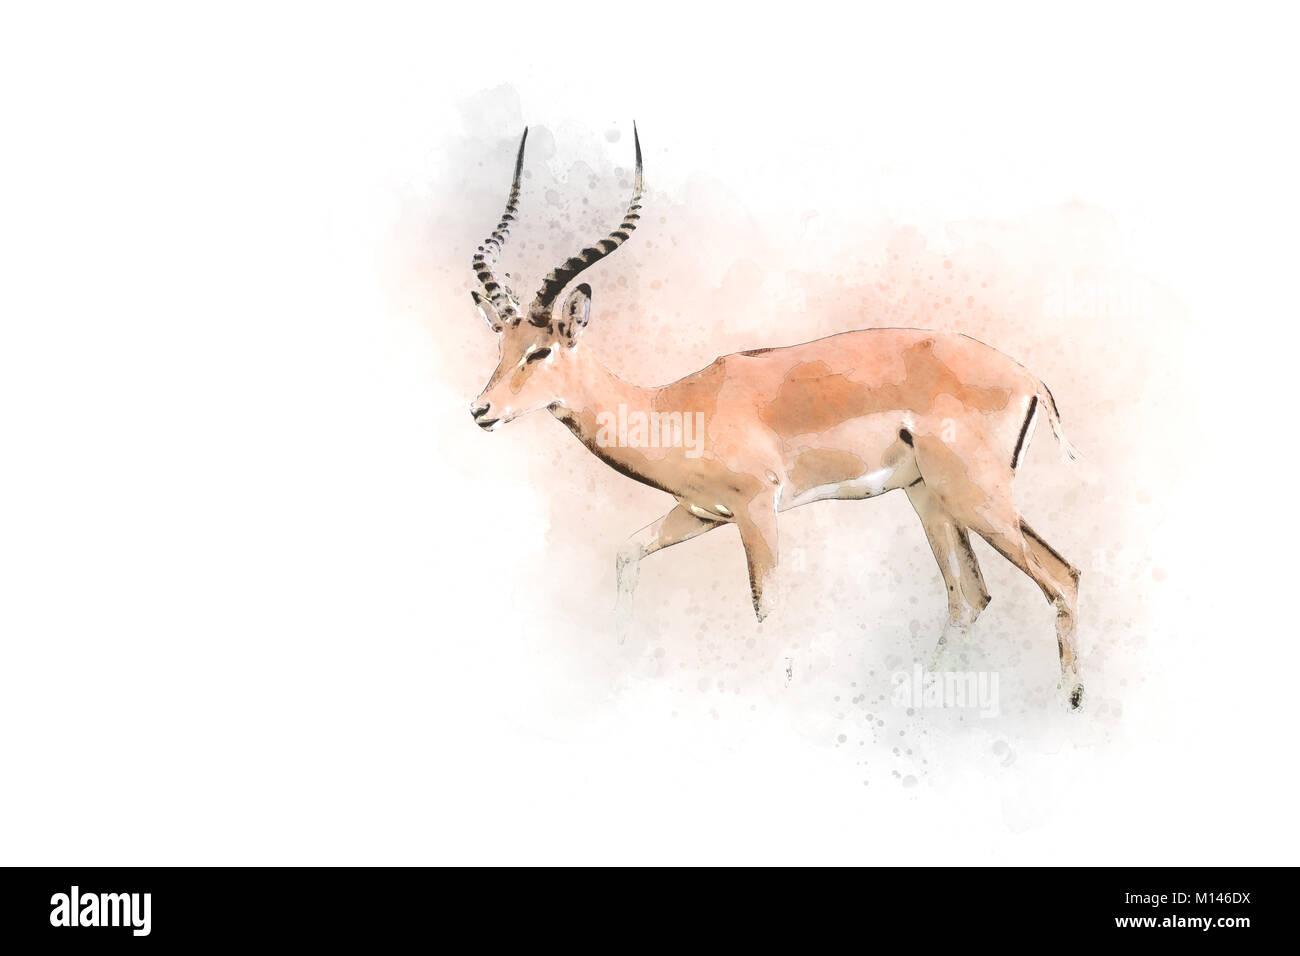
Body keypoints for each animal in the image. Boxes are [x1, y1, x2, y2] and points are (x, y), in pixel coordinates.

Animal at [467, 127, 1085, 710]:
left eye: (540, 350)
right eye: (501, 344)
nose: (480, 410)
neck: (674, 407)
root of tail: (1031, 378)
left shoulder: (758, 510)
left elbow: (769, 614)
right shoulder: (698, 513)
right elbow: (624, 556)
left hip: (976, 498)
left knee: (1061, 577)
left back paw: (1067, 706)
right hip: (929, 496)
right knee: (970, 598)